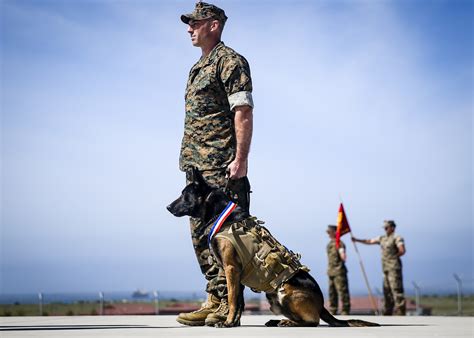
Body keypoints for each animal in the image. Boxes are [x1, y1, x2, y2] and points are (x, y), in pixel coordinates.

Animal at [167, 168, 378, 328]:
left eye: (184, 195)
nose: (168, 207)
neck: (222, 215)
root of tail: (322, 306)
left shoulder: (231, 269)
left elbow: (233, 298)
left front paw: (226, 323)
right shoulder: (237, 274)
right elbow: (239, 300)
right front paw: (233, 323)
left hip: (285, 292)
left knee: (313, 321)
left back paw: (289, 323)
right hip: (273, 298)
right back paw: (278, 321)